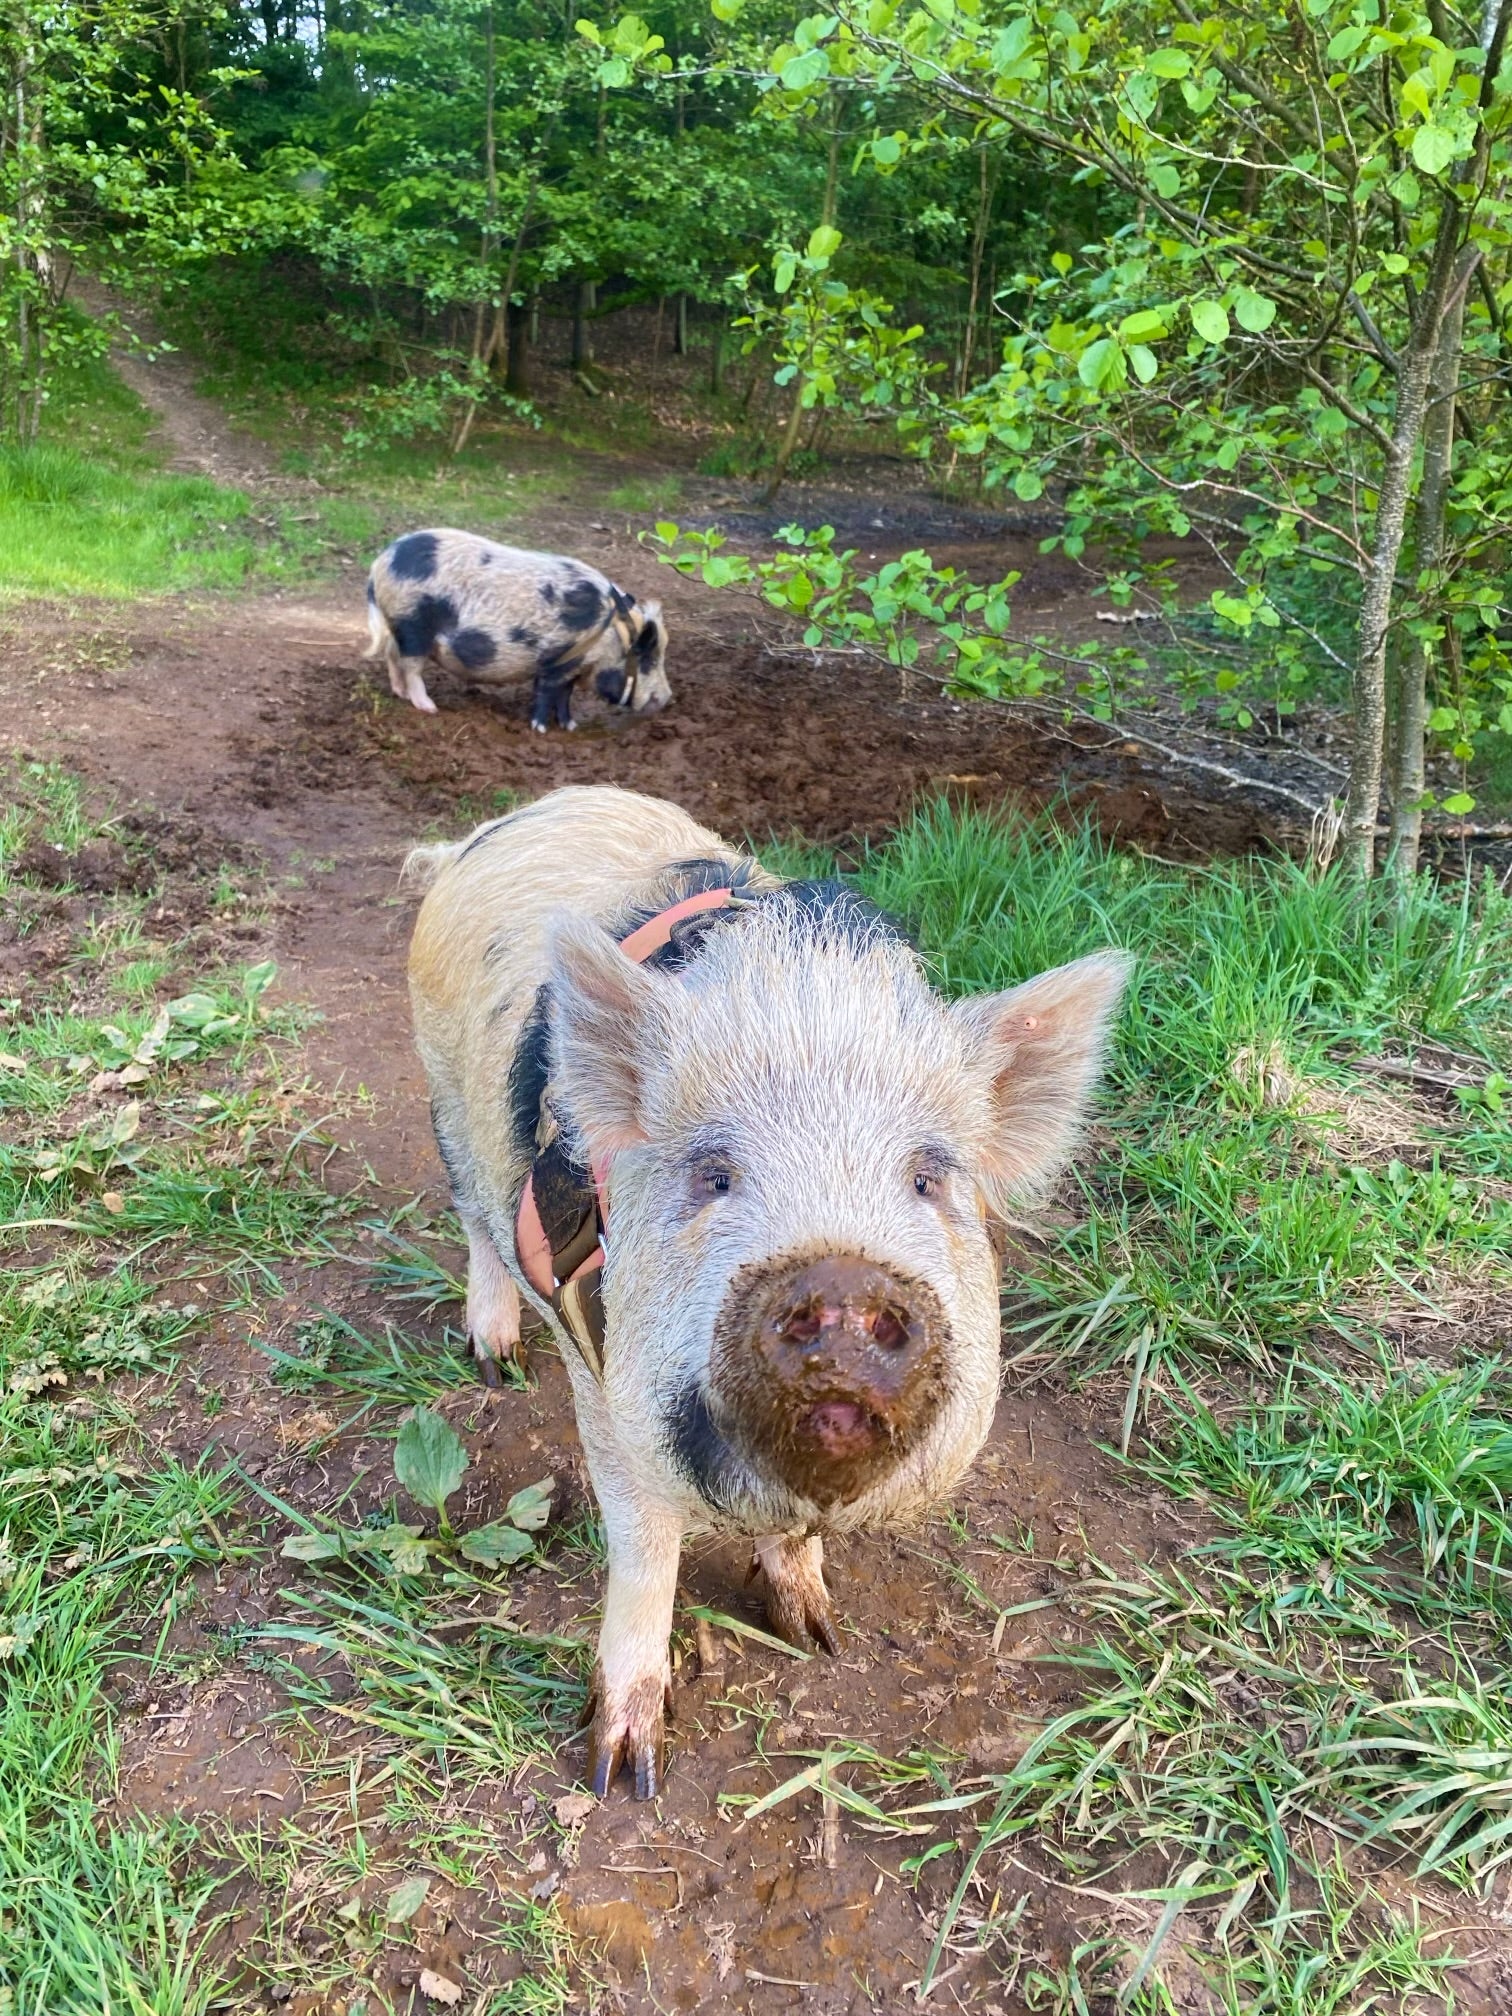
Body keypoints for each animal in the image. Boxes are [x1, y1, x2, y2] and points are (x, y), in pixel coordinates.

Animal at [365, 529, 671, 731]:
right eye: (650, 660)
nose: (668, 698)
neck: (613, 633)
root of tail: (381, 561)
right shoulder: (556, 658)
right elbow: (546, 691)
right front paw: (540, 729)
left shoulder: (572, 666)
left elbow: (565, 695)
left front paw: (570, 727)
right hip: (412, 623)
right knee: (411, 666)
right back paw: (428, 707)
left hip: (398, 625)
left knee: (392, 655)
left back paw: (400, 694)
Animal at [405, 786, 1128, 1798]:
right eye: (715, 1175)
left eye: (926, 1179)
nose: (842, 1278)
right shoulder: (605, 1369)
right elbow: (645, 1546)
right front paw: (622, 1774)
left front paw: (818, 1634)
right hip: (444, 1100)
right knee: (473, 1219)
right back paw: (495, 1360)